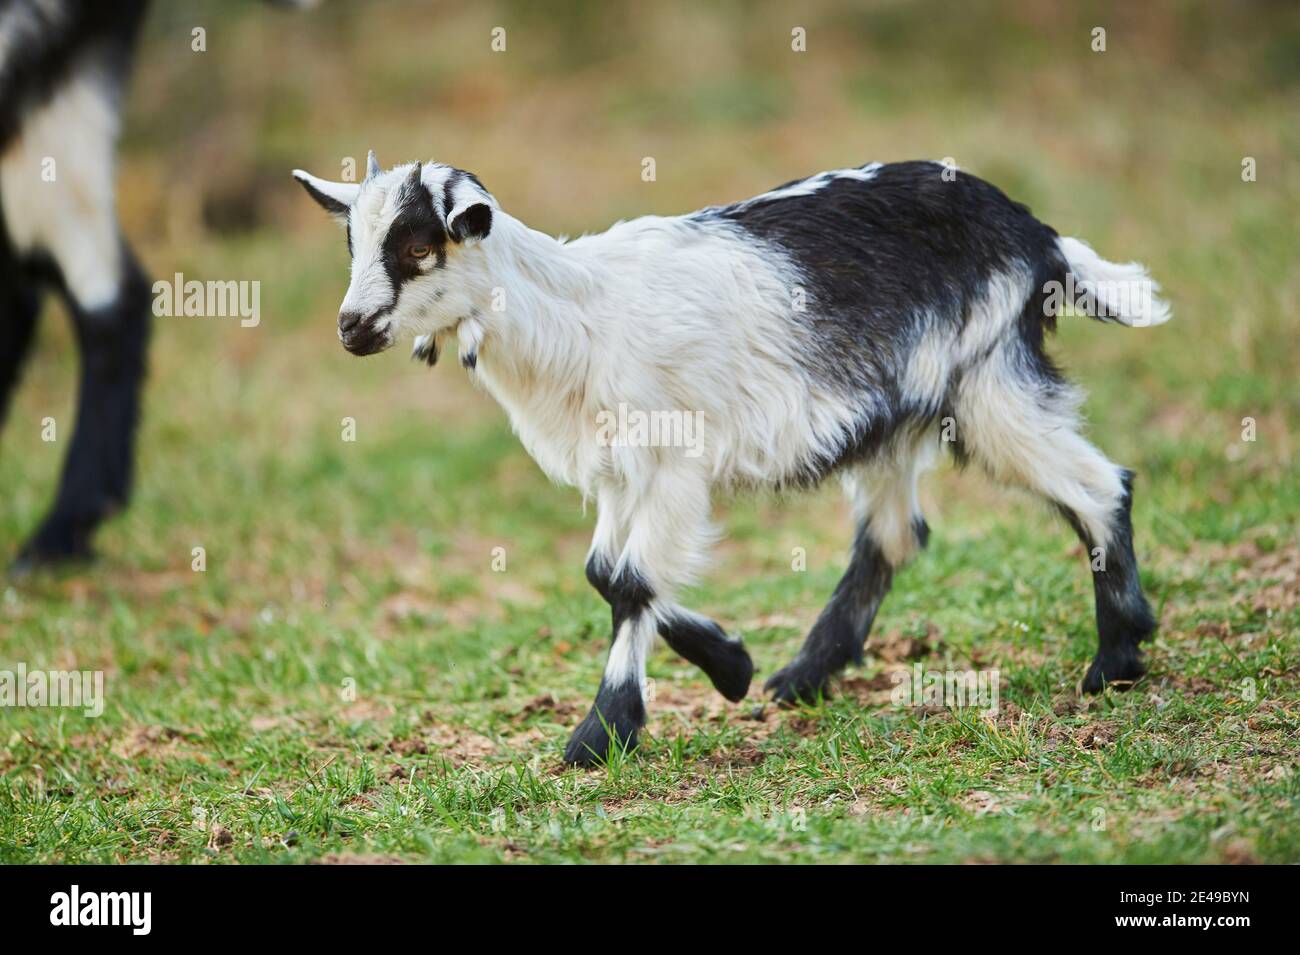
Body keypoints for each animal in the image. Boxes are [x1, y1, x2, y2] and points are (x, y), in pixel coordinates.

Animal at [294, 153, 1170, 766]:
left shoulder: (672, 461)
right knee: (894, 534)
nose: (351, 326)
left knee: (1100, 486)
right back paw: (801, 676)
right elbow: (606, 573)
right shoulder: (619, 468)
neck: (578, 314)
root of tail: (1037, 235)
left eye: (417, 244)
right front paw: (733, 665)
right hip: (892, 414)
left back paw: (1116, 659)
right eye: (352, 241)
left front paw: (602, 734)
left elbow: (628, 579)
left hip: (987, 379)